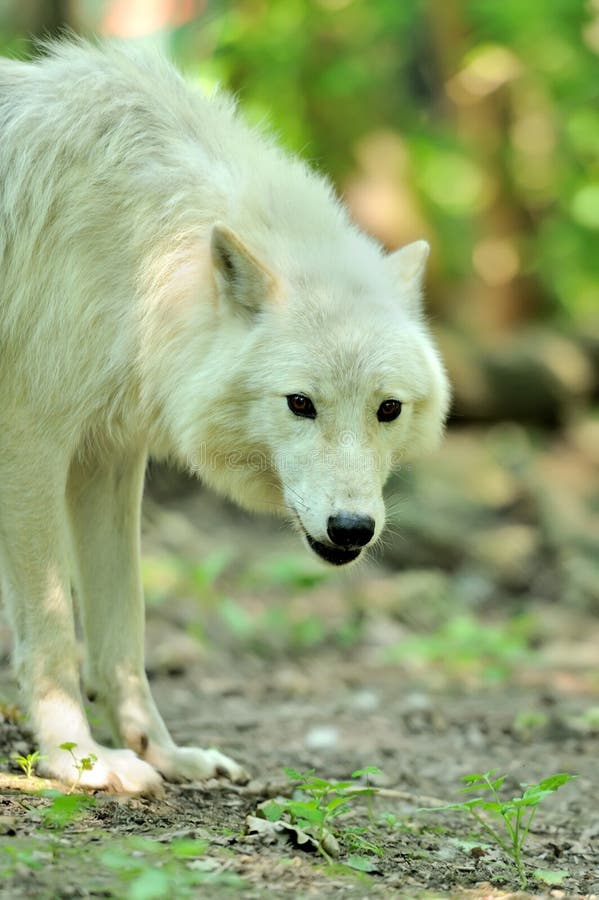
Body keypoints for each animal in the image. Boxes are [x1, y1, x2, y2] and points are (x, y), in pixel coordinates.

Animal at [0, 40, 450, 793]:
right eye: (300, 404)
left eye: (387, 409)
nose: (352, 529)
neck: (136, 250)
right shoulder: (30, 444)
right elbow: (55, 632)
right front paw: (77, 760)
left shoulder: (105, 458)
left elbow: (123, 632)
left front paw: (160, 752)